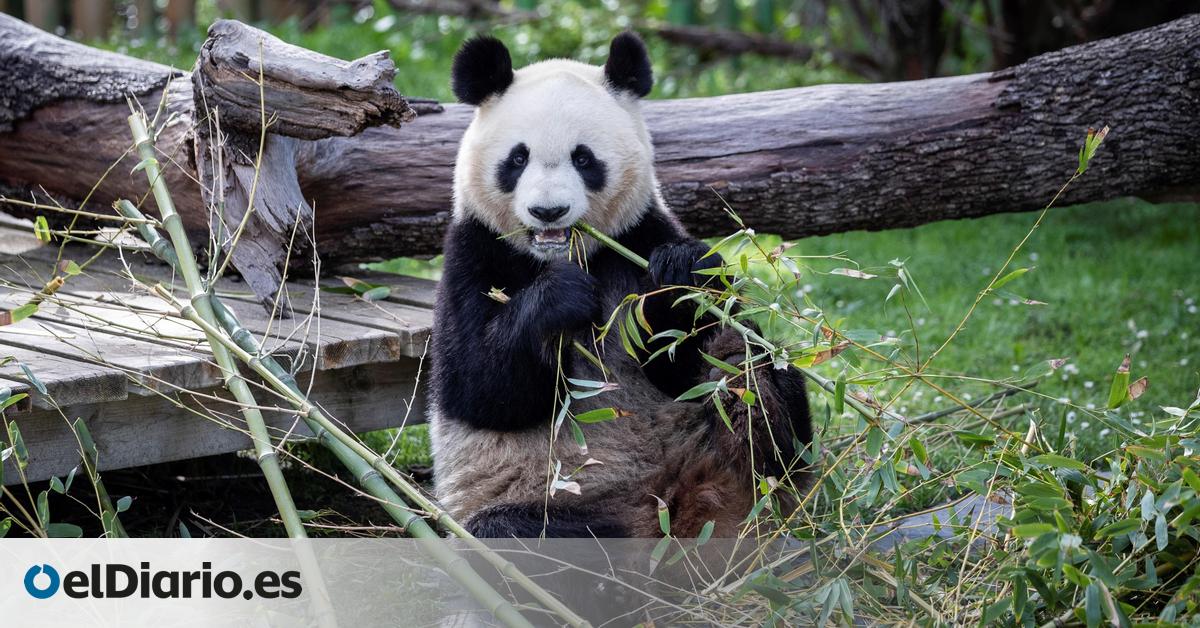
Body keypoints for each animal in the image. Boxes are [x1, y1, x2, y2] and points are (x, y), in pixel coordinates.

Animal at [429, 32, 813, 539]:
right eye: (517, 158)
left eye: (583, 158)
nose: (548, 212)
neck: (568, 255)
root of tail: (675, 510)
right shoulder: (475, 250)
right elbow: (479, 386)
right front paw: (560, 298)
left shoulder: (640, 233)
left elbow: (679, 358)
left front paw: (680, 273)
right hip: (561, 502)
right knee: (515, 531)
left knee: (759, 382)